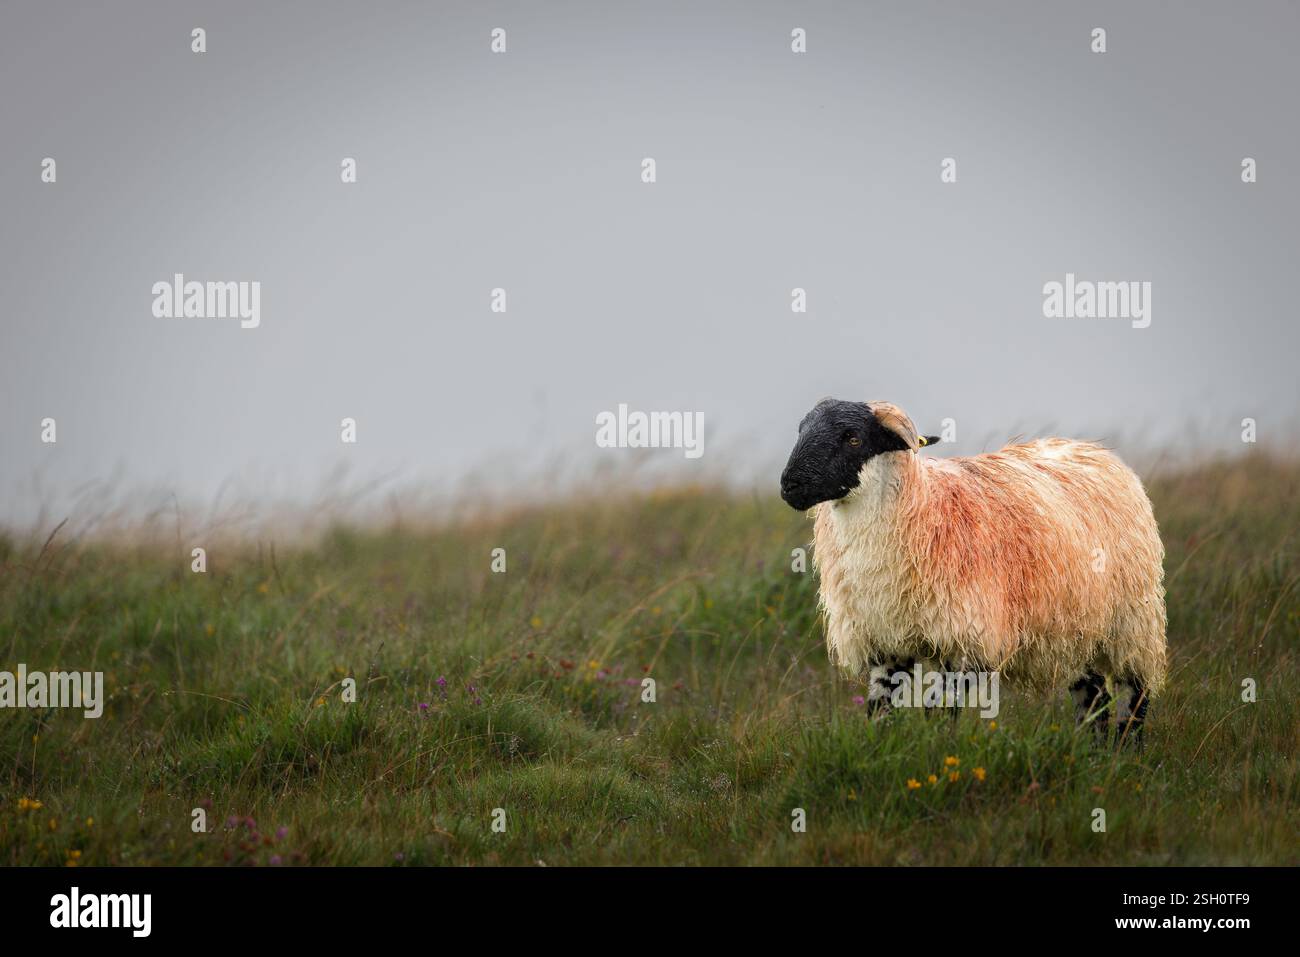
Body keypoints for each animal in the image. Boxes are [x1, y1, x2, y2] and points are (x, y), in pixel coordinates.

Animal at [780, 398, 1167, 743]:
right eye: (802, 430)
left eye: (853, 438)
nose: (789, 485)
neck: (923, 508)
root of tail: (1097, 451)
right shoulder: (885, 642)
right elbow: (880, 712)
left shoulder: (963, 641)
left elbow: (939, 713)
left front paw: (936, 753)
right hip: (1074, 629)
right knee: (1095, 697)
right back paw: (1094, 756)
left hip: (1131, 620)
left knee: (1134, 694)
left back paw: (1125, 755)